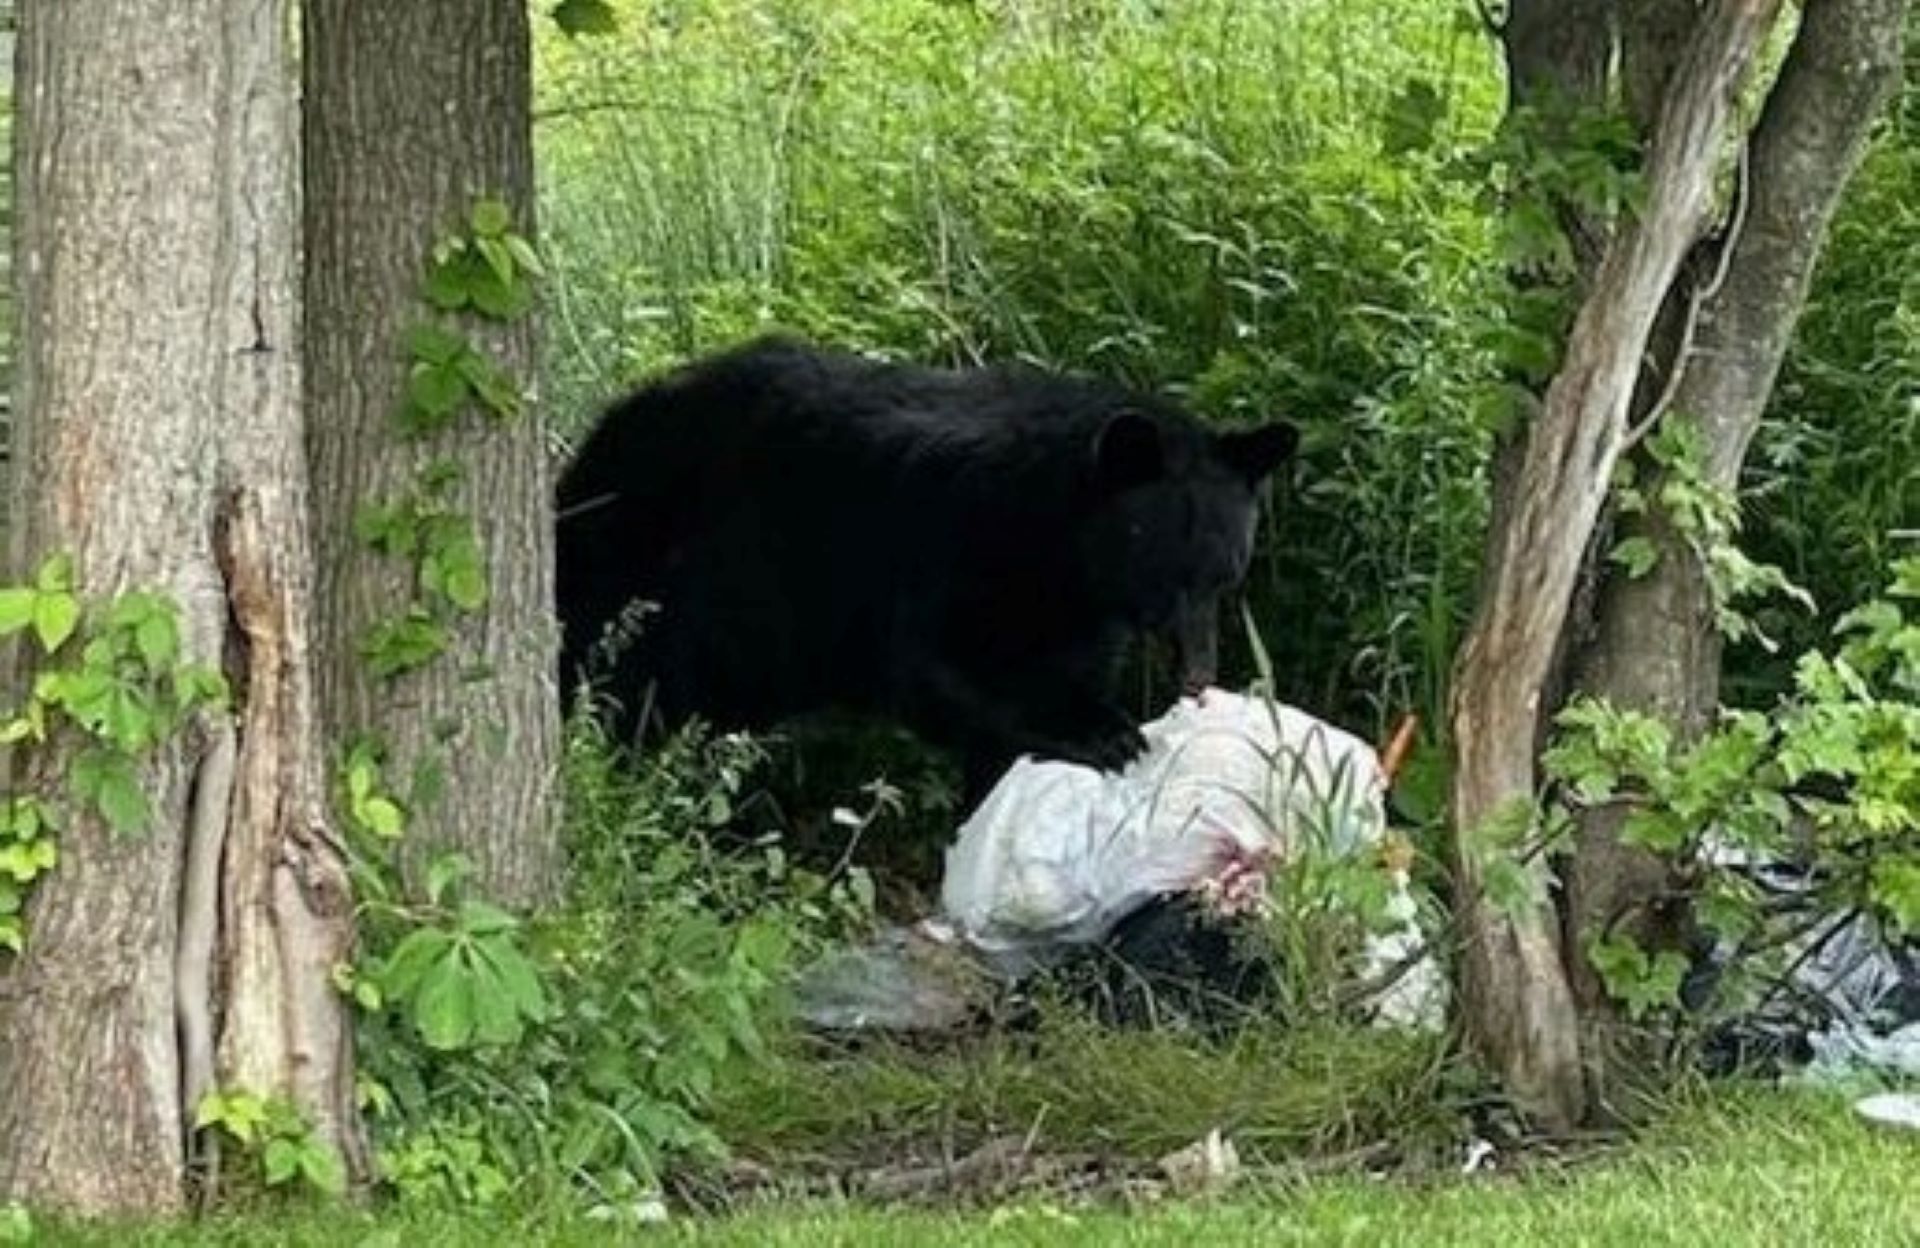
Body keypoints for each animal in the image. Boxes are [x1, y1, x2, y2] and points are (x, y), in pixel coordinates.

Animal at [555, 335, 1298, 801]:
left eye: (1225, 576)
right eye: (1165, 576)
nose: (1198, 674)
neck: (1056, 540)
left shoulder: (1075, 609)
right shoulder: (942, 538)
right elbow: (935, 666)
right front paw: (1101, 733)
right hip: (653, 568)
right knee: (631, 682)